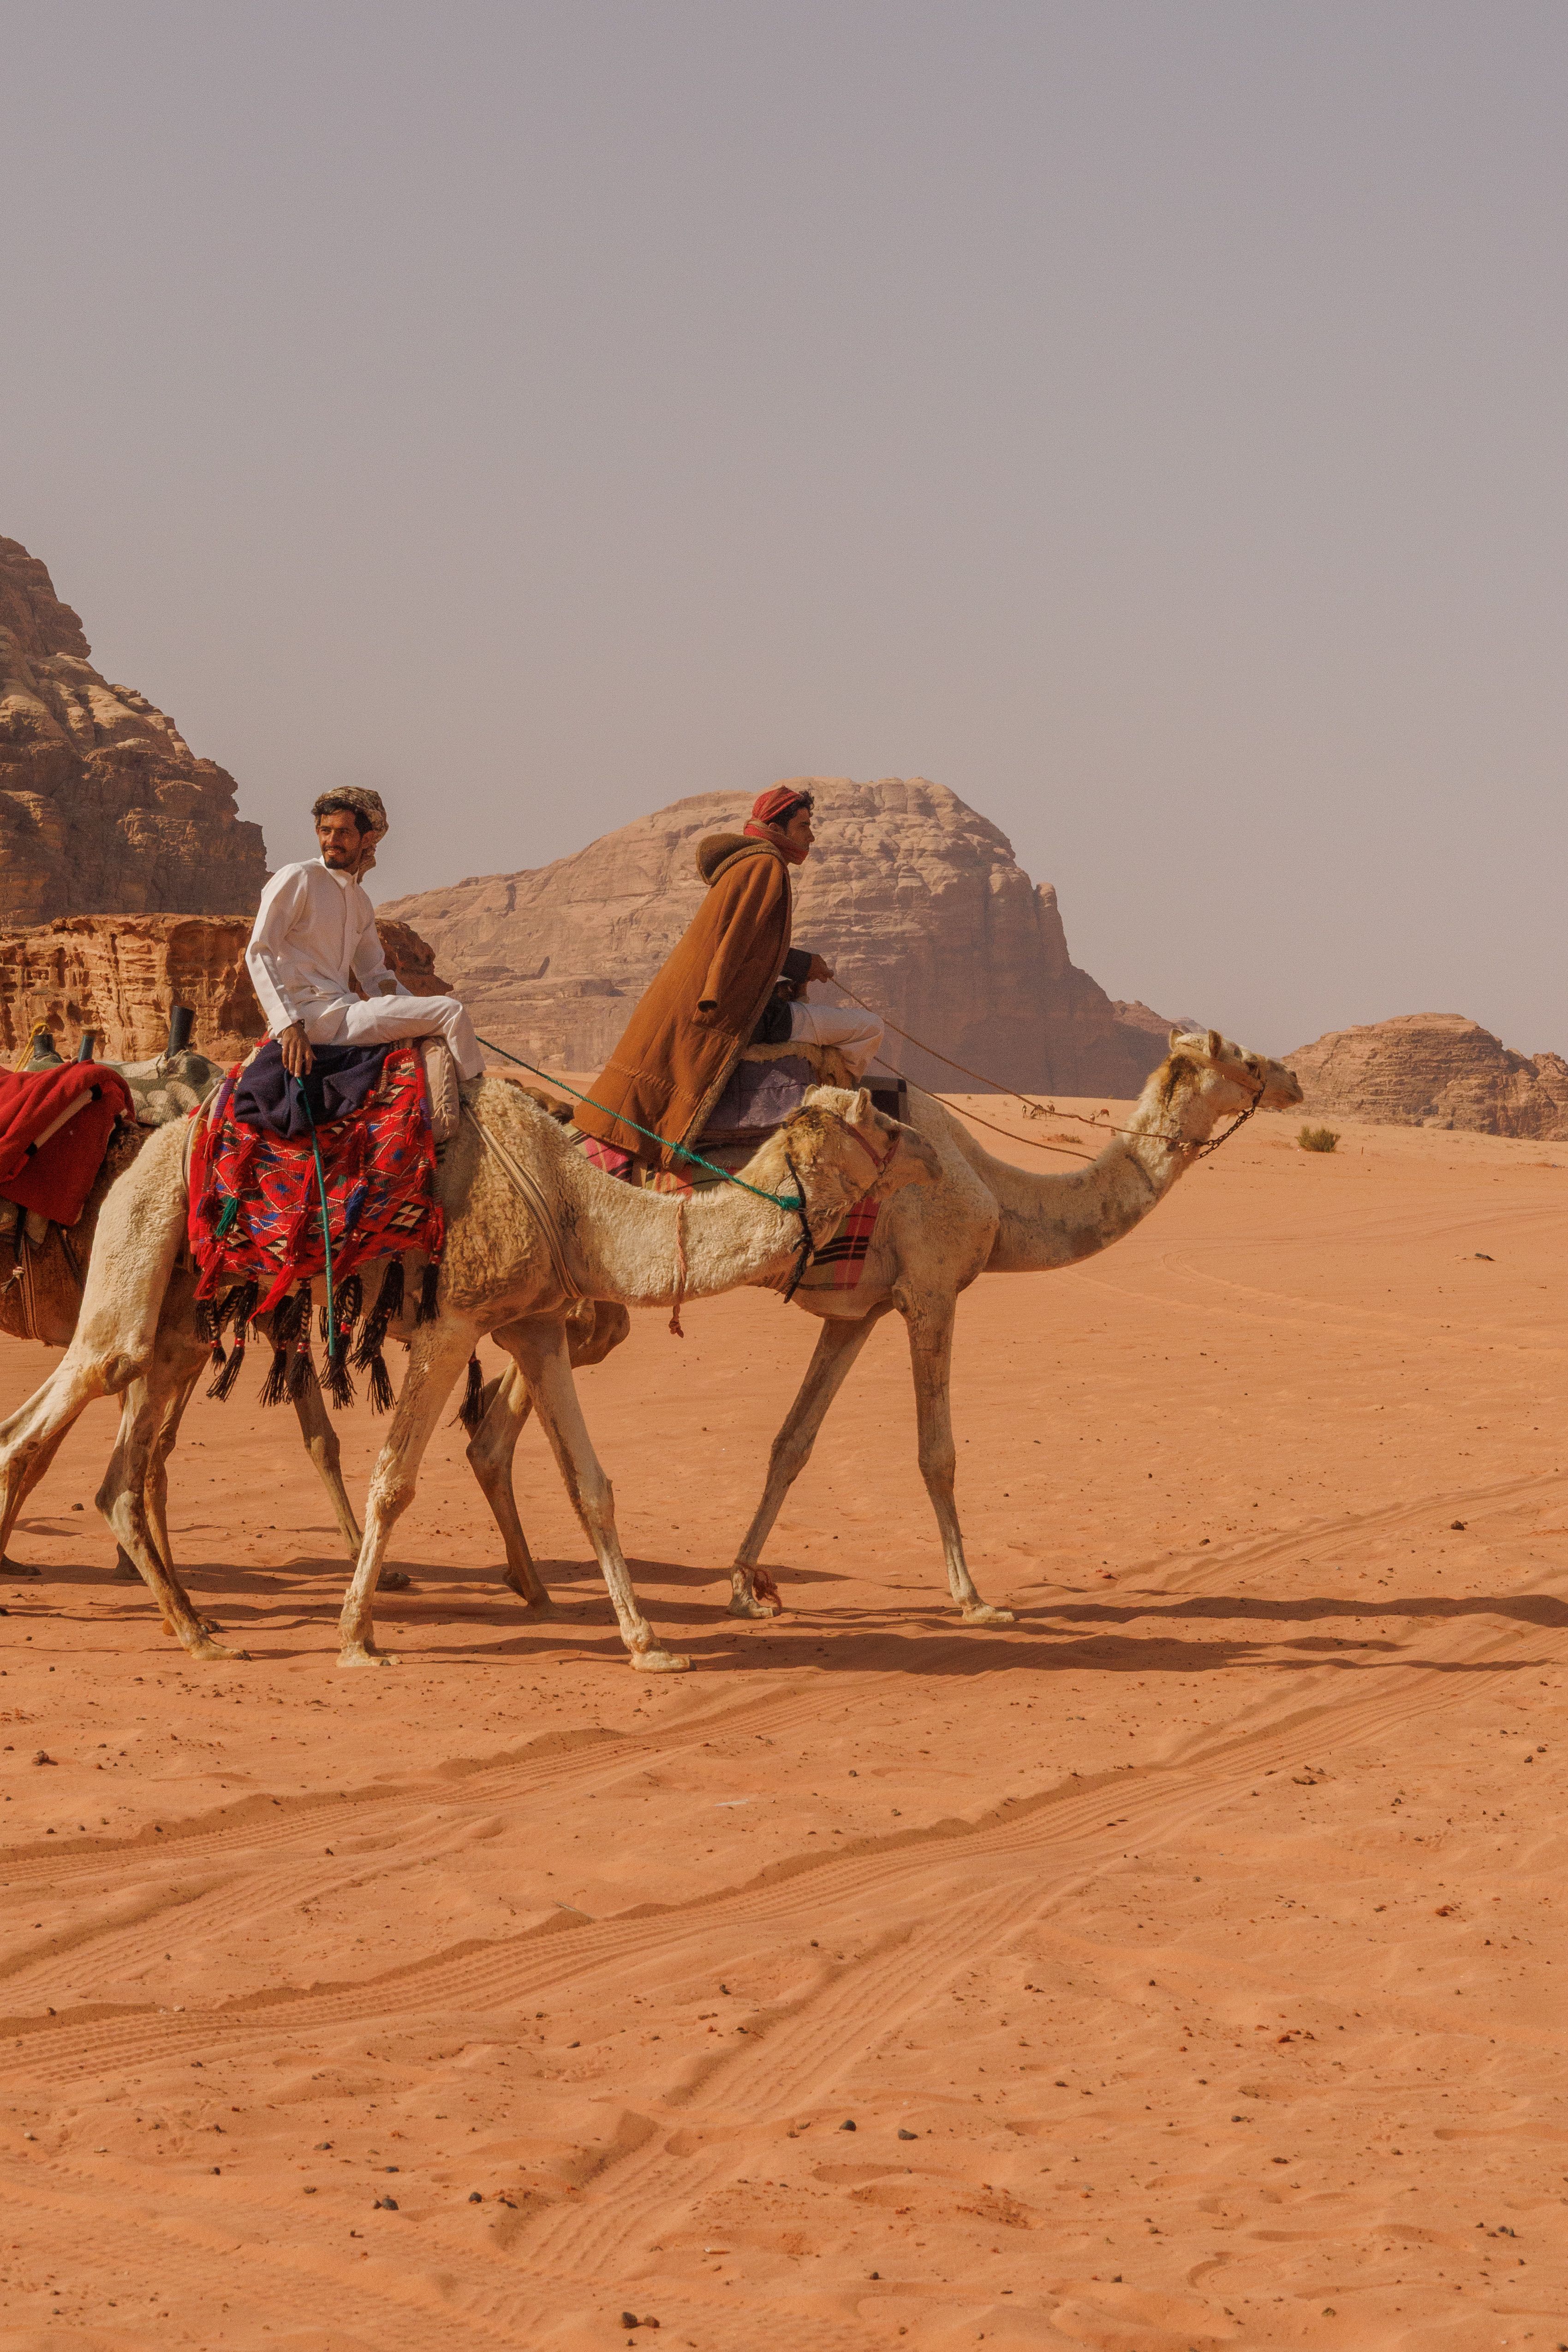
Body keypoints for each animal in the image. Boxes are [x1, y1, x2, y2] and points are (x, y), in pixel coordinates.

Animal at [0, 1078, 935, 1664]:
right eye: (878, 1122)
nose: (928, 1142)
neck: (575, 1200)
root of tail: (155, 1139)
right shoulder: (452, 1321)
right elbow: (393, 1480)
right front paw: (356, 1638)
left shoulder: (534, 1325)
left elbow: (591, 1484)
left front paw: (648, 1645)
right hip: (139, 1240)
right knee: (67, 1401)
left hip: (182, 1317)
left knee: (110, 1464)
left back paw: (195, 1628)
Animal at [453, 1029, 1302, 1625]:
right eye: (1243, 1056)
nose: (1293, 1076)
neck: (998, 1200)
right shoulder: (932, 1290)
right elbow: (937, 1453)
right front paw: (973, 1596)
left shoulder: (857, 1314)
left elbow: (790, 1444)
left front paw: (745, 1586)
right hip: (586, 1296)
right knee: (501, 1410)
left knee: (492, 1426)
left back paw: (528, 1581)